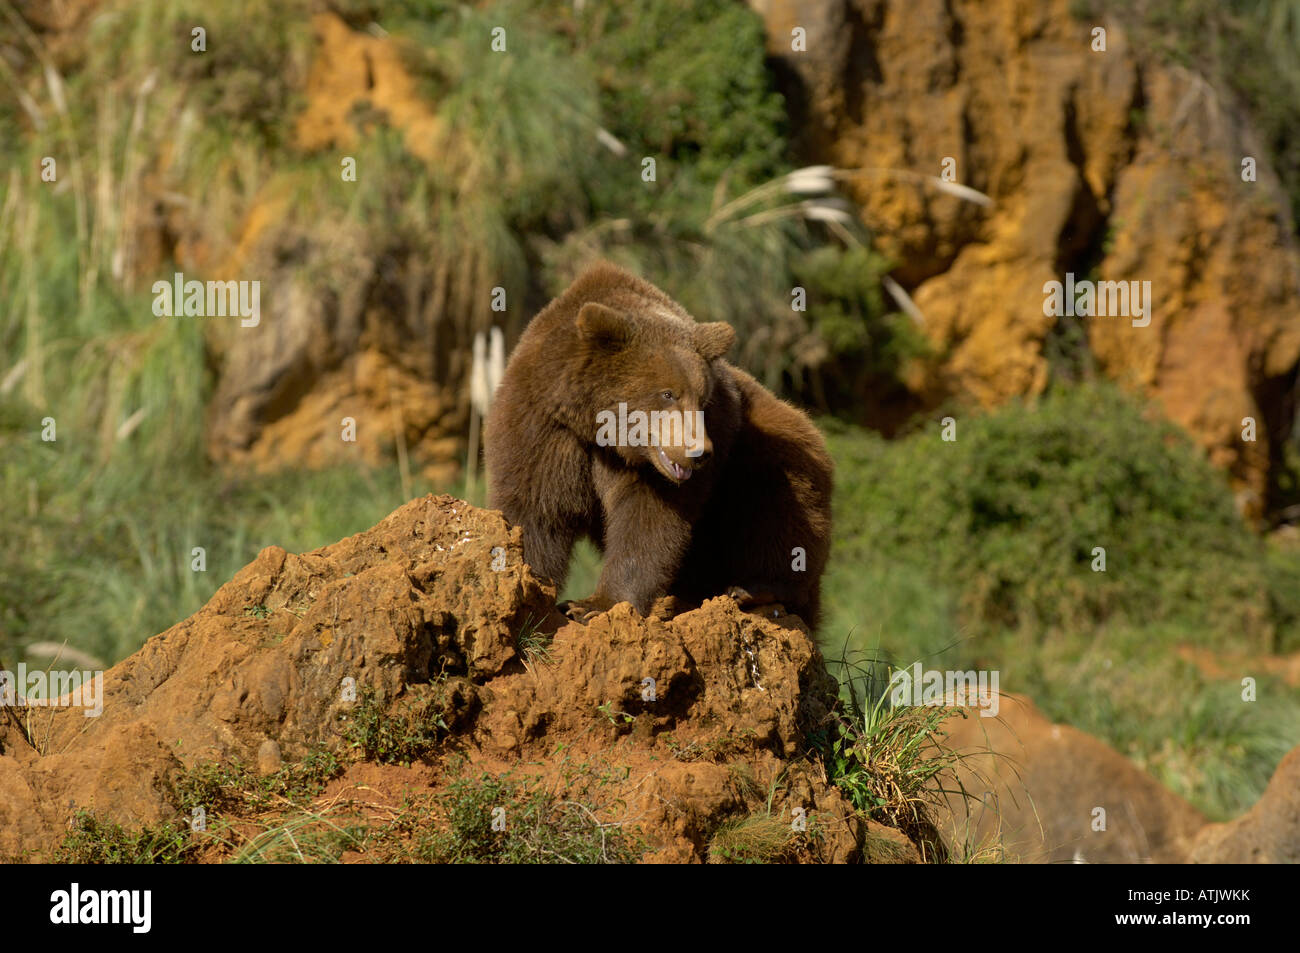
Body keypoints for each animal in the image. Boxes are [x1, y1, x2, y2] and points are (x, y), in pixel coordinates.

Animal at [484, 261, 833, 628]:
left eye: (702, 397)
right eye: (667, 393)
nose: (699, 452)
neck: (600, 431)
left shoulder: (691, 448)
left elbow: (648, 519)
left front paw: (593, 605)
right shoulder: (542, 426)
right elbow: (537, 509)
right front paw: (533, 588)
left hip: (775, 446)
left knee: (781, 509)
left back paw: (754, 589)